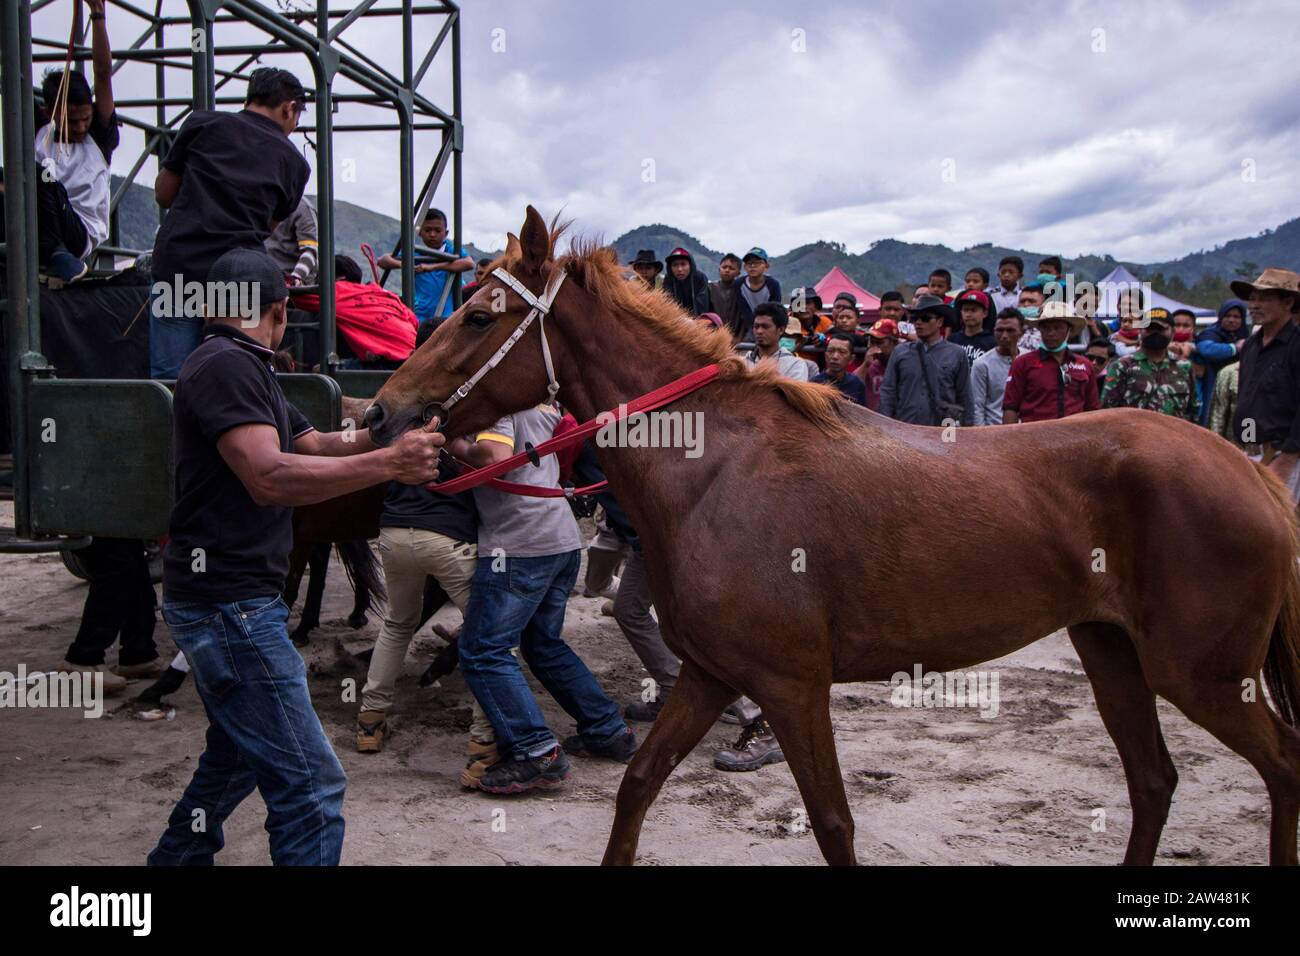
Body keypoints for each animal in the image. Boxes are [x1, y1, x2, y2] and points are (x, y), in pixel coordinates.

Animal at [364, 206, 1300, 866]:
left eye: (478, 318)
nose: (381, 413)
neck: (716, 473)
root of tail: (1247, 467)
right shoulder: (710, 673)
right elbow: (636, 788)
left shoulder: (790, 685)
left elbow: (832, 824)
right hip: (1113, 653)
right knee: (1153, 781)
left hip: (1202, 673)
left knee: (1281, 765)